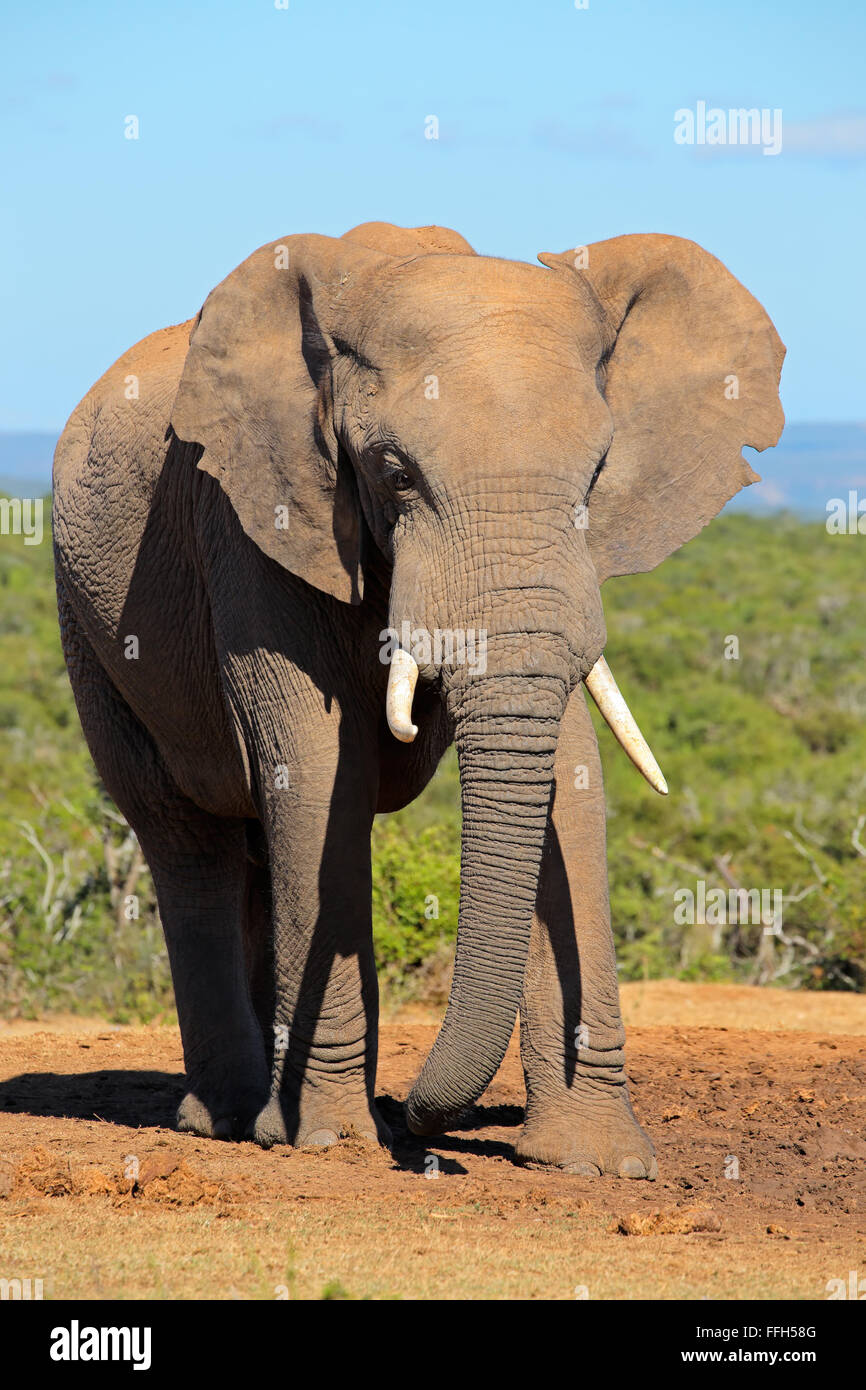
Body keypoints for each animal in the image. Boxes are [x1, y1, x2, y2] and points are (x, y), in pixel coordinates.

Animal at [52, 220, 784, 1177]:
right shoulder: (251, 517)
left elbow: (572, 774)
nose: (419, 1123)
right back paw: (234, 1119)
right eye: (395, 472)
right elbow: (314, 770)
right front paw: (330, 1140)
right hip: (87, 627)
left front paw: (600, 1164)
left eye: (595, 476)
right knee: (187, 842)